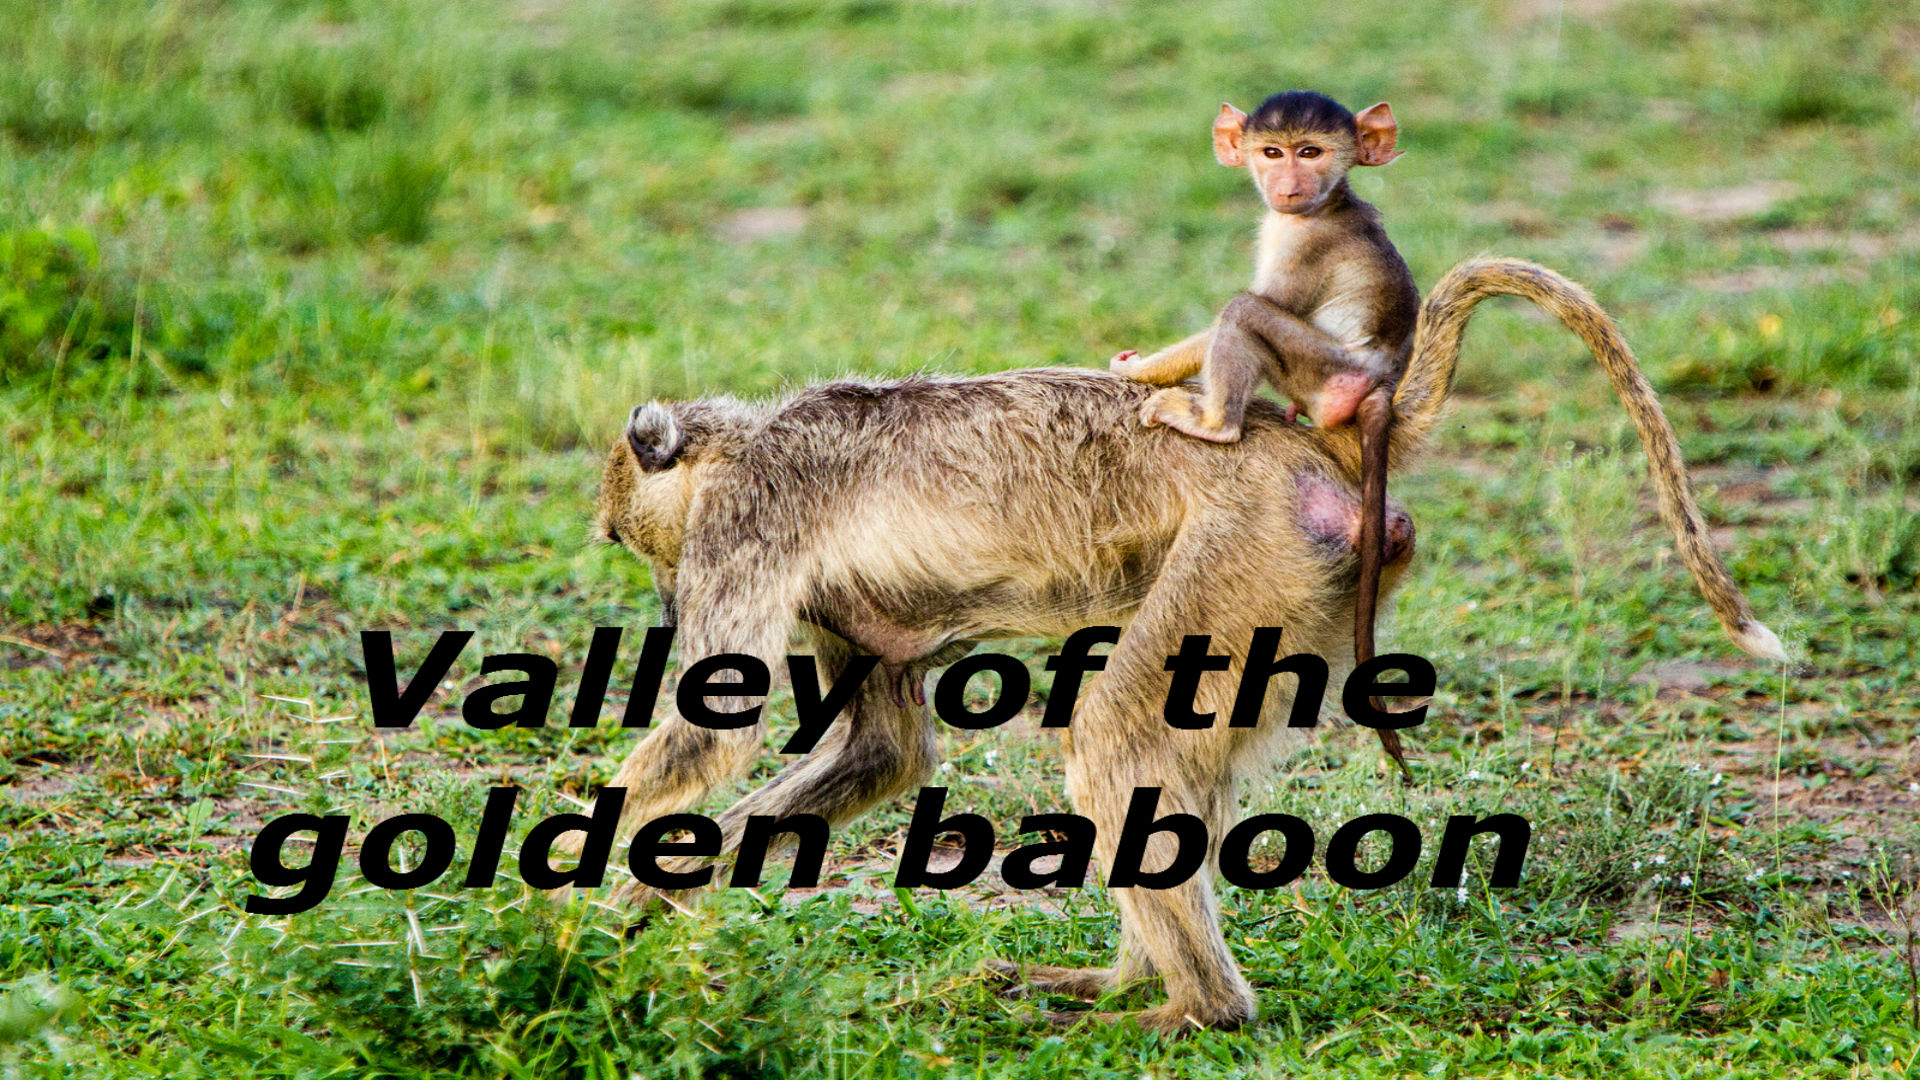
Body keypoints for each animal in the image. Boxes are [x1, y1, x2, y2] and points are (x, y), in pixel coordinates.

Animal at [583, 257, 1785, 1035]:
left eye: (623, 536)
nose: (663, 600)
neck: (740, 442)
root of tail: (1312, 444)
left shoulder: (753, 521)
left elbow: (707, 742)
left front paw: (578, 905)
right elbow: (882, 755)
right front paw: (636, 914)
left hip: (1252, 557)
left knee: (1116, 738)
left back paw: (1190, 1011)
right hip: (1296, 598)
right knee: (1165, 751)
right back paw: (1127, 987)